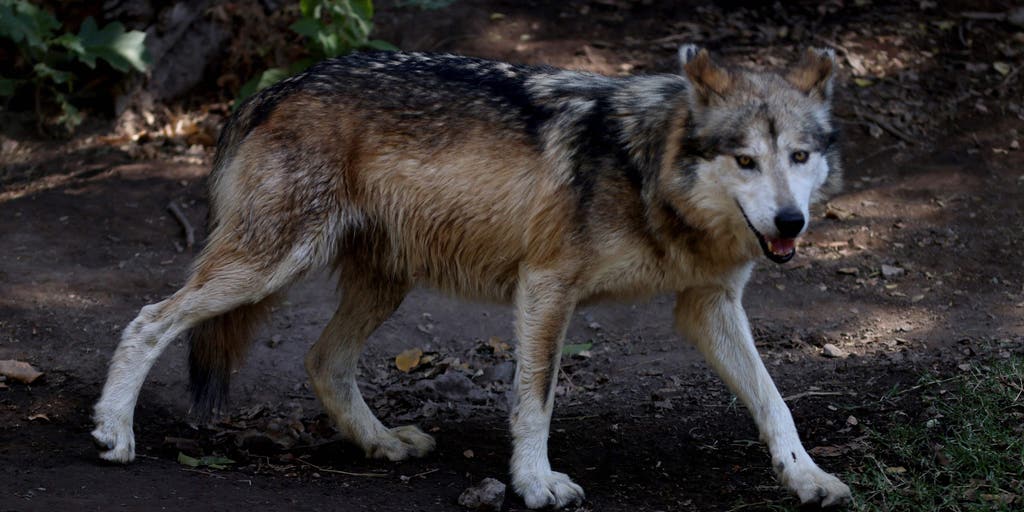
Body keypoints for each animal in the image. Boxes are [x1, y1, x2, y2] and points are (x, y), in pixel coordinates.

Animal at [92, 46, 851, 508]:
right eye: (745, 160)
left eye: (800, 155)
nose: (789, 223)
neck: (645, 169)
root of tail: (273, 89)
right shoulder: (546, 287)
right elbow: (535, 401)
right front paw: (537, 483)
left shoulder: (708, 306)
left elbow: (775, 402)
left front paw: (807, 476)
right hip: (268, 265)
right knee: (149, 319)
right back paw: (114, 434)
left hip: (379, 284)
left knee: (322, 359)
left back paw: (381, 443)